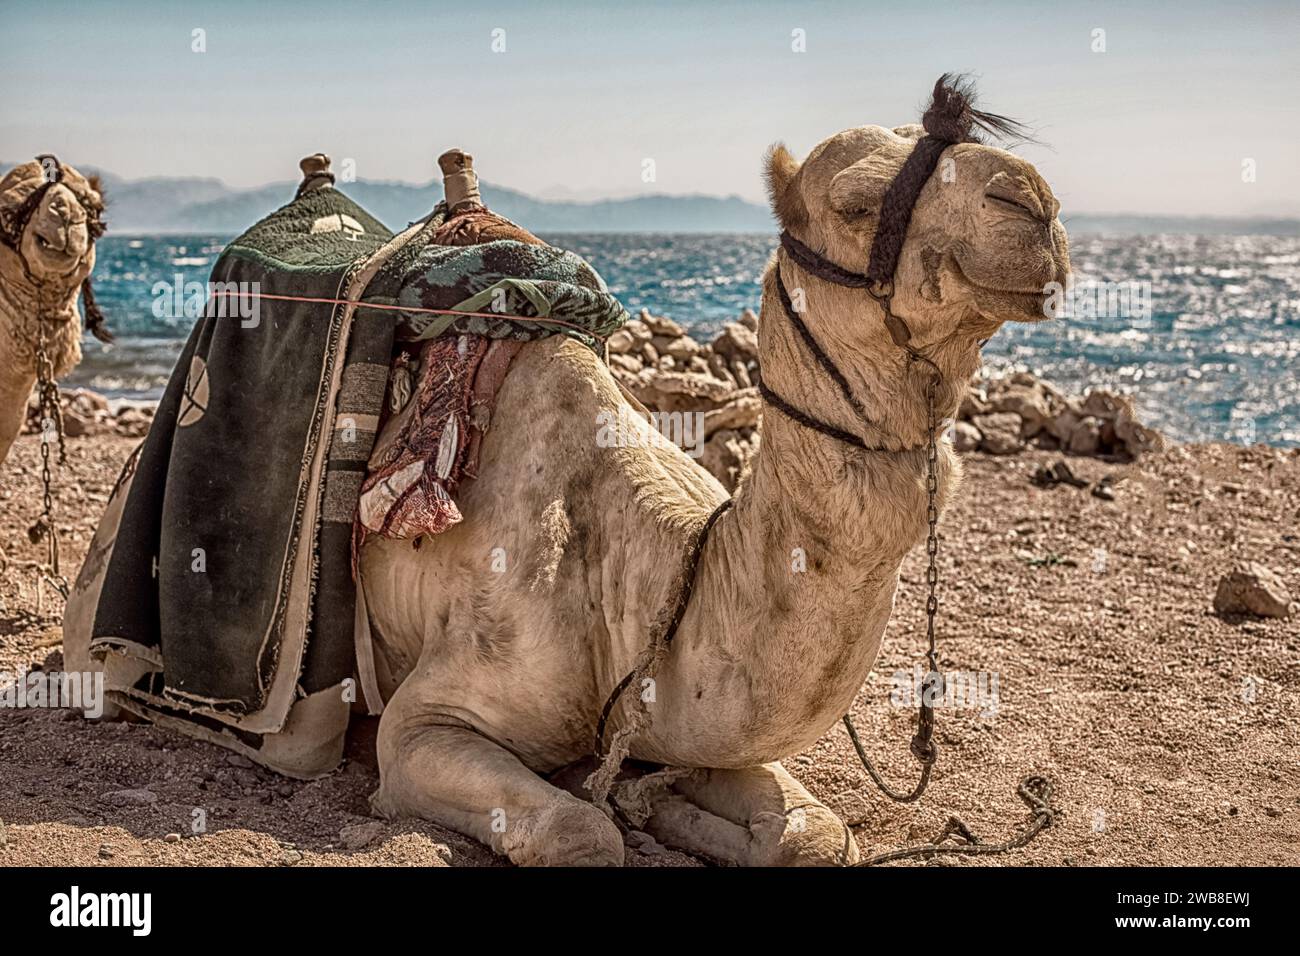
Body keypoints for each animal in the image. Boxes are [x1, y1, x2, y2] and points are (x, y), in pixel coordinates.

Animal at [357, 108, 1071, 864]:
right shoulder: (423, 722)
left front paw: (660, 808)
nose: (1032, 202)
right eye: (856, 205)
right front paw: (627, 809)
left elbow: (815, 834)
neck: (627, 589)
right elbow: (581, 831)